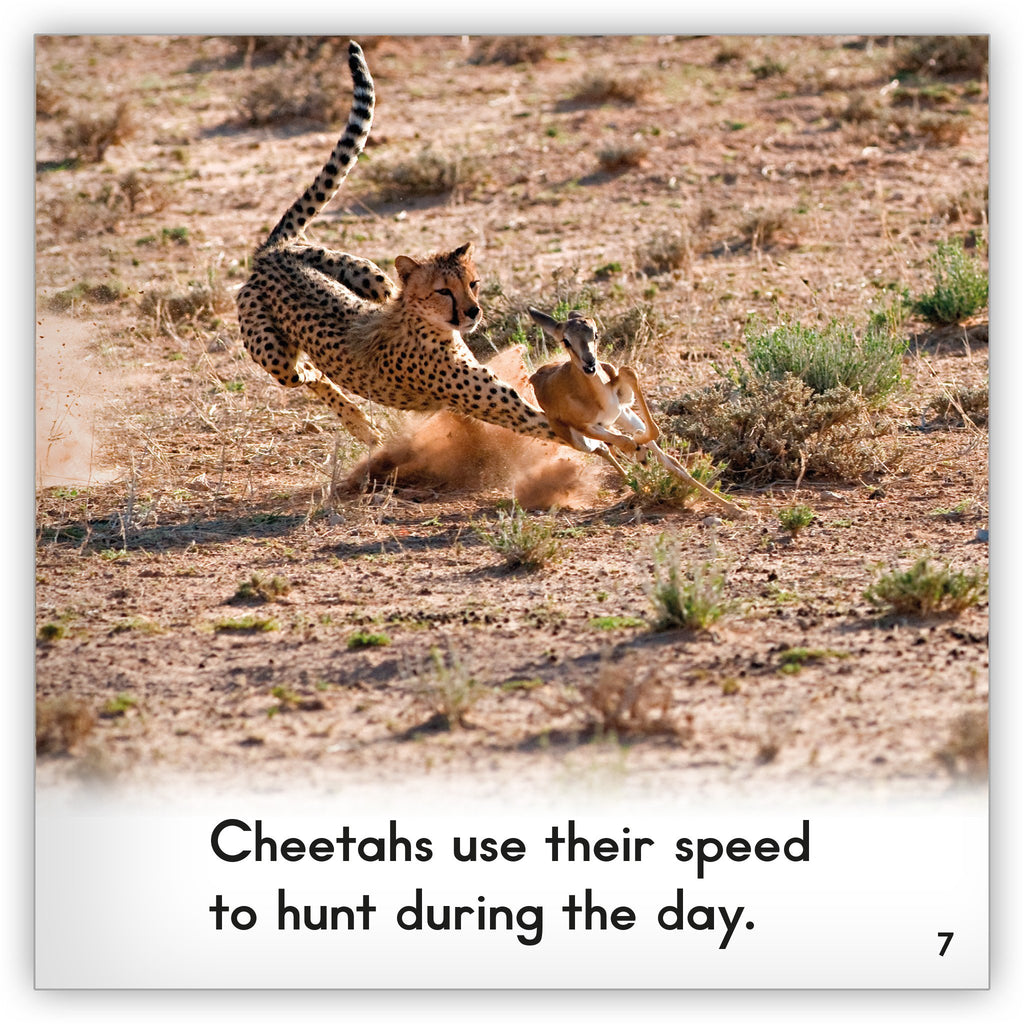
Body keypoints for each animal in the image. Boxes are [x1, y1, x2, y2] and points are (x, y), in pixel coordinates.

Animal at [236, 40, 561, 449]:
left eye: (472, 284)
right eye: (443, 291)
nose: (473, 312)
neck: (423, 323)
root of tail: (273, 252)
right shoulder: (495, 403)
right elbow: (557, 426)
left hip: (374, 278)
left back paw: (362, 425)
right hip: (273, 354)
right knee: (309, 372)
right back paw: (358, 422)